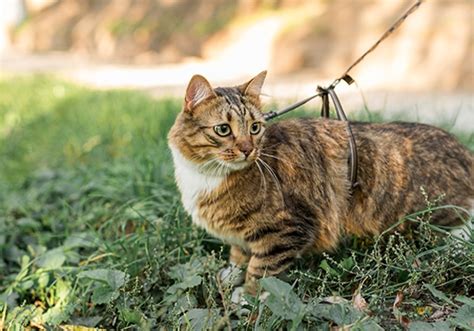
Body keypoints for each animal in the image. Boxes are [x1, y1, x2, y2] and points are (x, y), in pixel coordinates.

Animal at [168, 71, 474, 294]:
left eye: (254, 128)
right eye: (223, 129)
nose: (247, 149)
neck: (205, 175)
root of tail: (463, 150)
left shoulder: (288, 228)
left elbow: (261, 269)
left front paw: (246, 297)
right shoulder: (245, 234)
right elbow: (238, 254)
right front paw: (231, 275)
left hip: (433, 214)